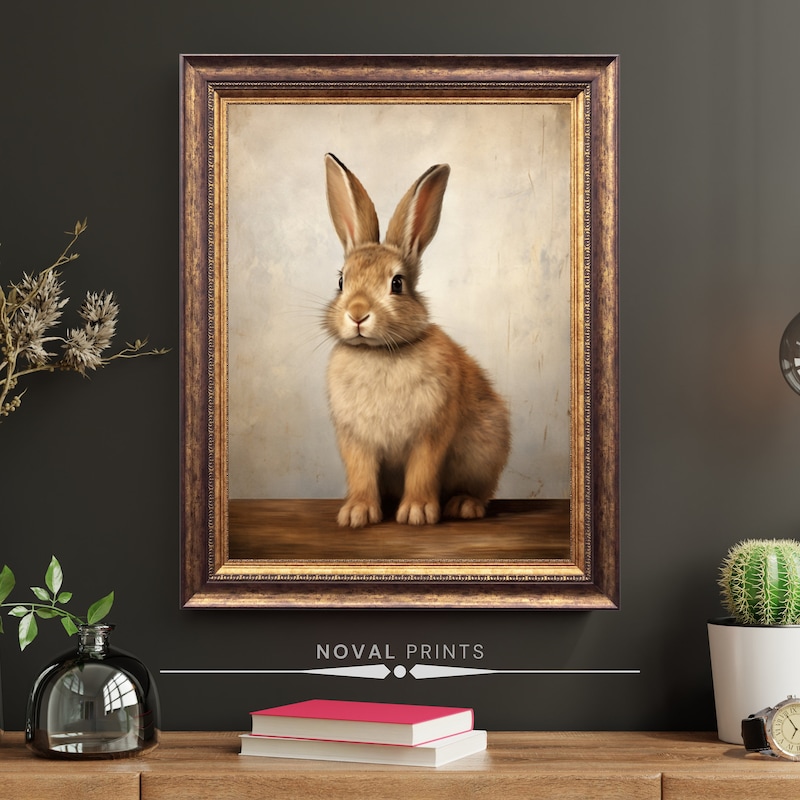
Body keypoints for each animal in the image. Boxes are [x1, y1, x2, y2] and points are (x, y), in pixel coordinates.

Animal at [323, 153, 511, 528]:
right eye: (341, 281)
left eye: (397, 283)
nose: (357, 313)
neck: (378, 353)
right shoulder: (355, 440)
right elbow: (361, 474)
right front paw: (357, 513)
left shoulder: (431, 433)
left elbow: (423, 470)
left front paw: (417, 513)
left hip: (486, 451)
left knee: (479, 490)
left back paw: (464, 505)